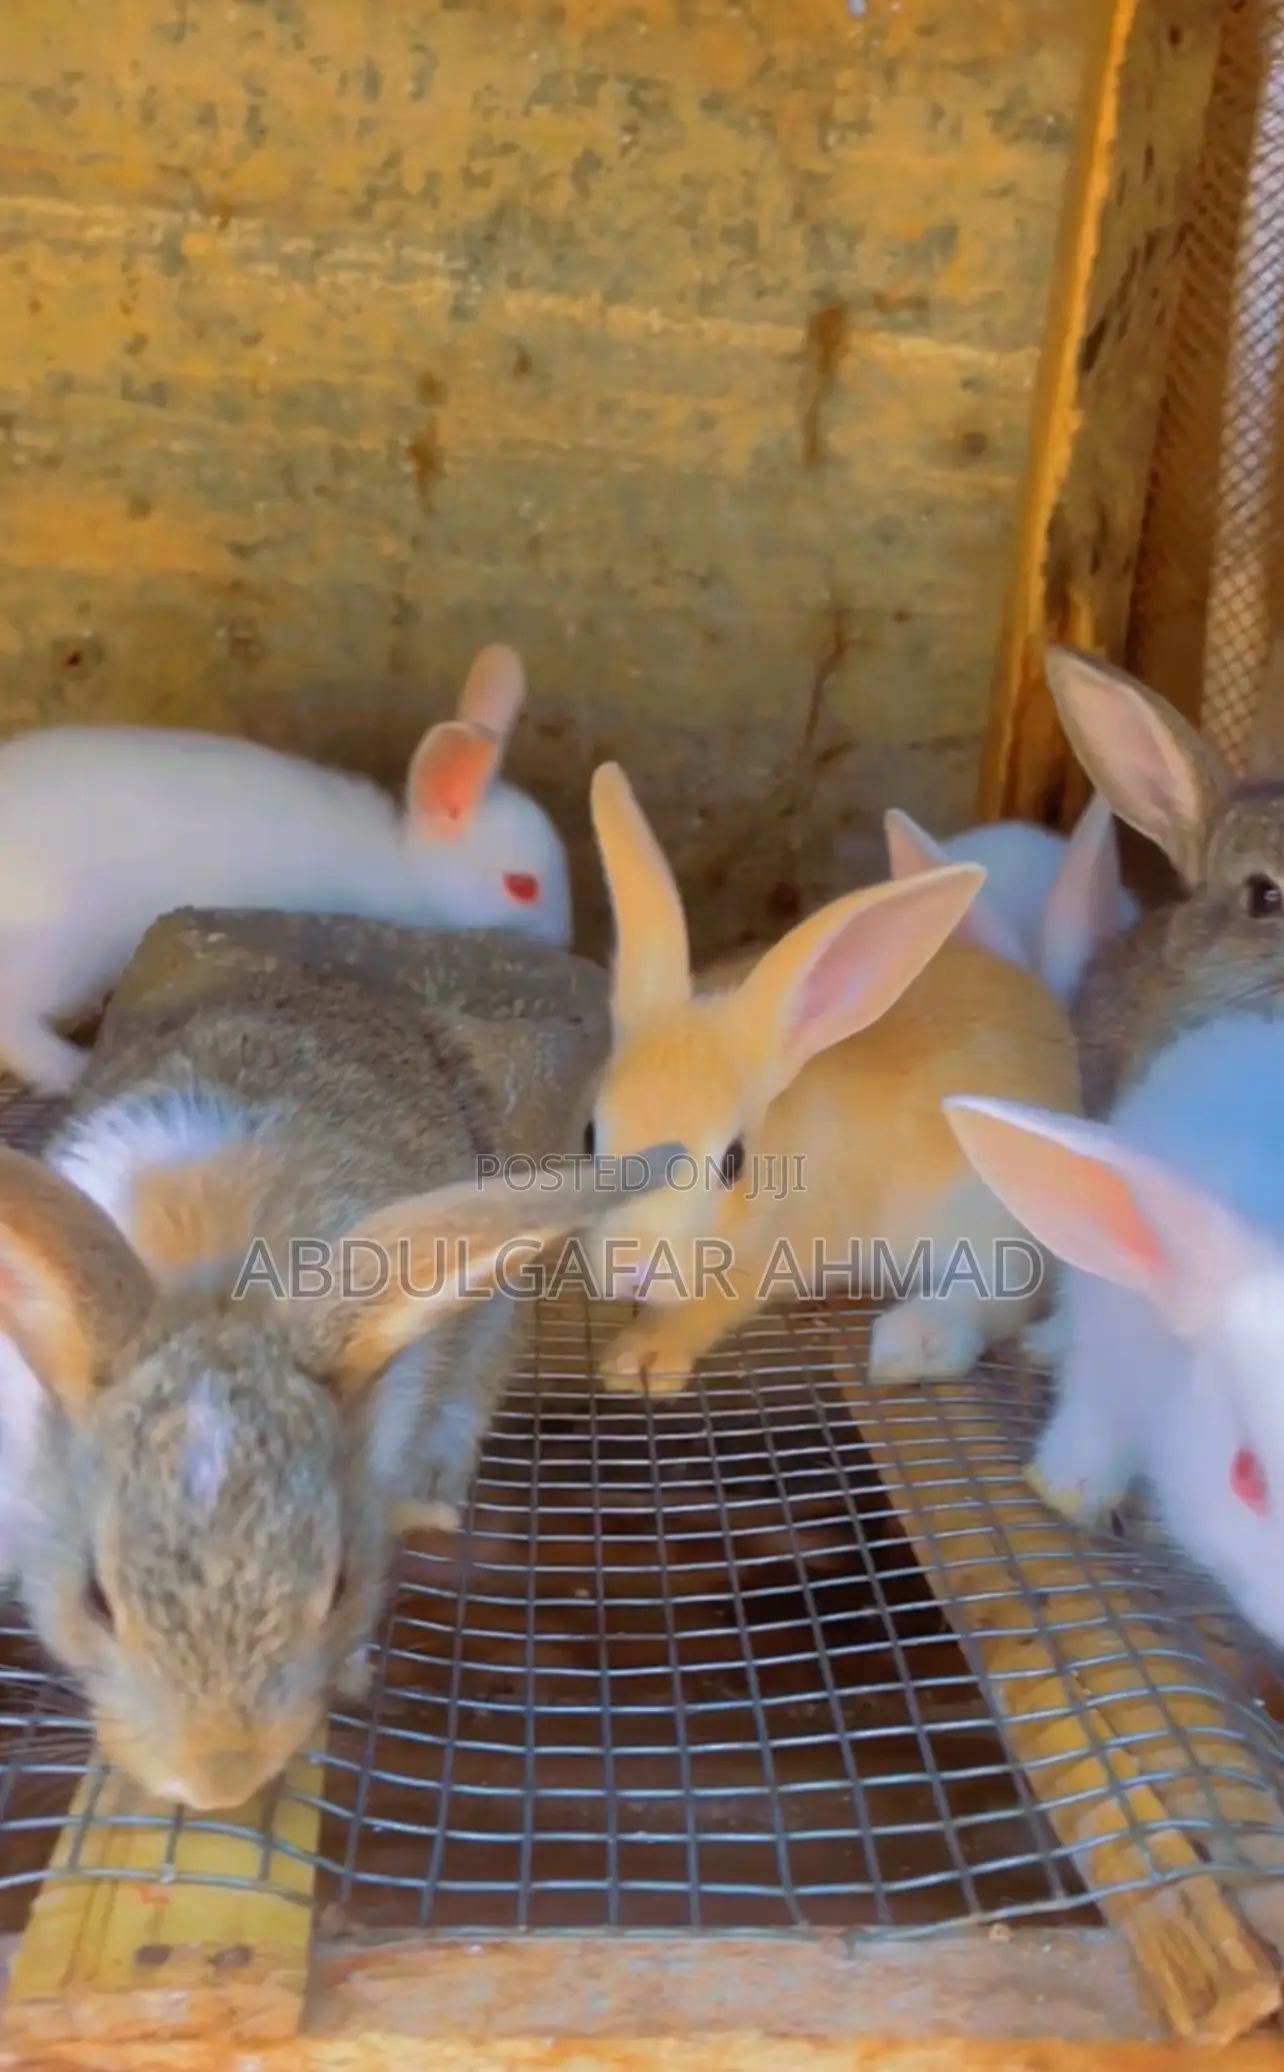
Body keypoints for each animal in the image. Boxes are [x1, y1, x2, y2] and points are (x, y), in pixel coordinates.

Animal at [572, 763, 1083, 1399]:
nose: (632, 1270)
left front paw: (642, 1358)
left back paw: (909, 1348)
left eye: (734, 1161)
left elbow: (710, 1305)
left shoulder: (773, 1256)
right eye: (589, 1136)